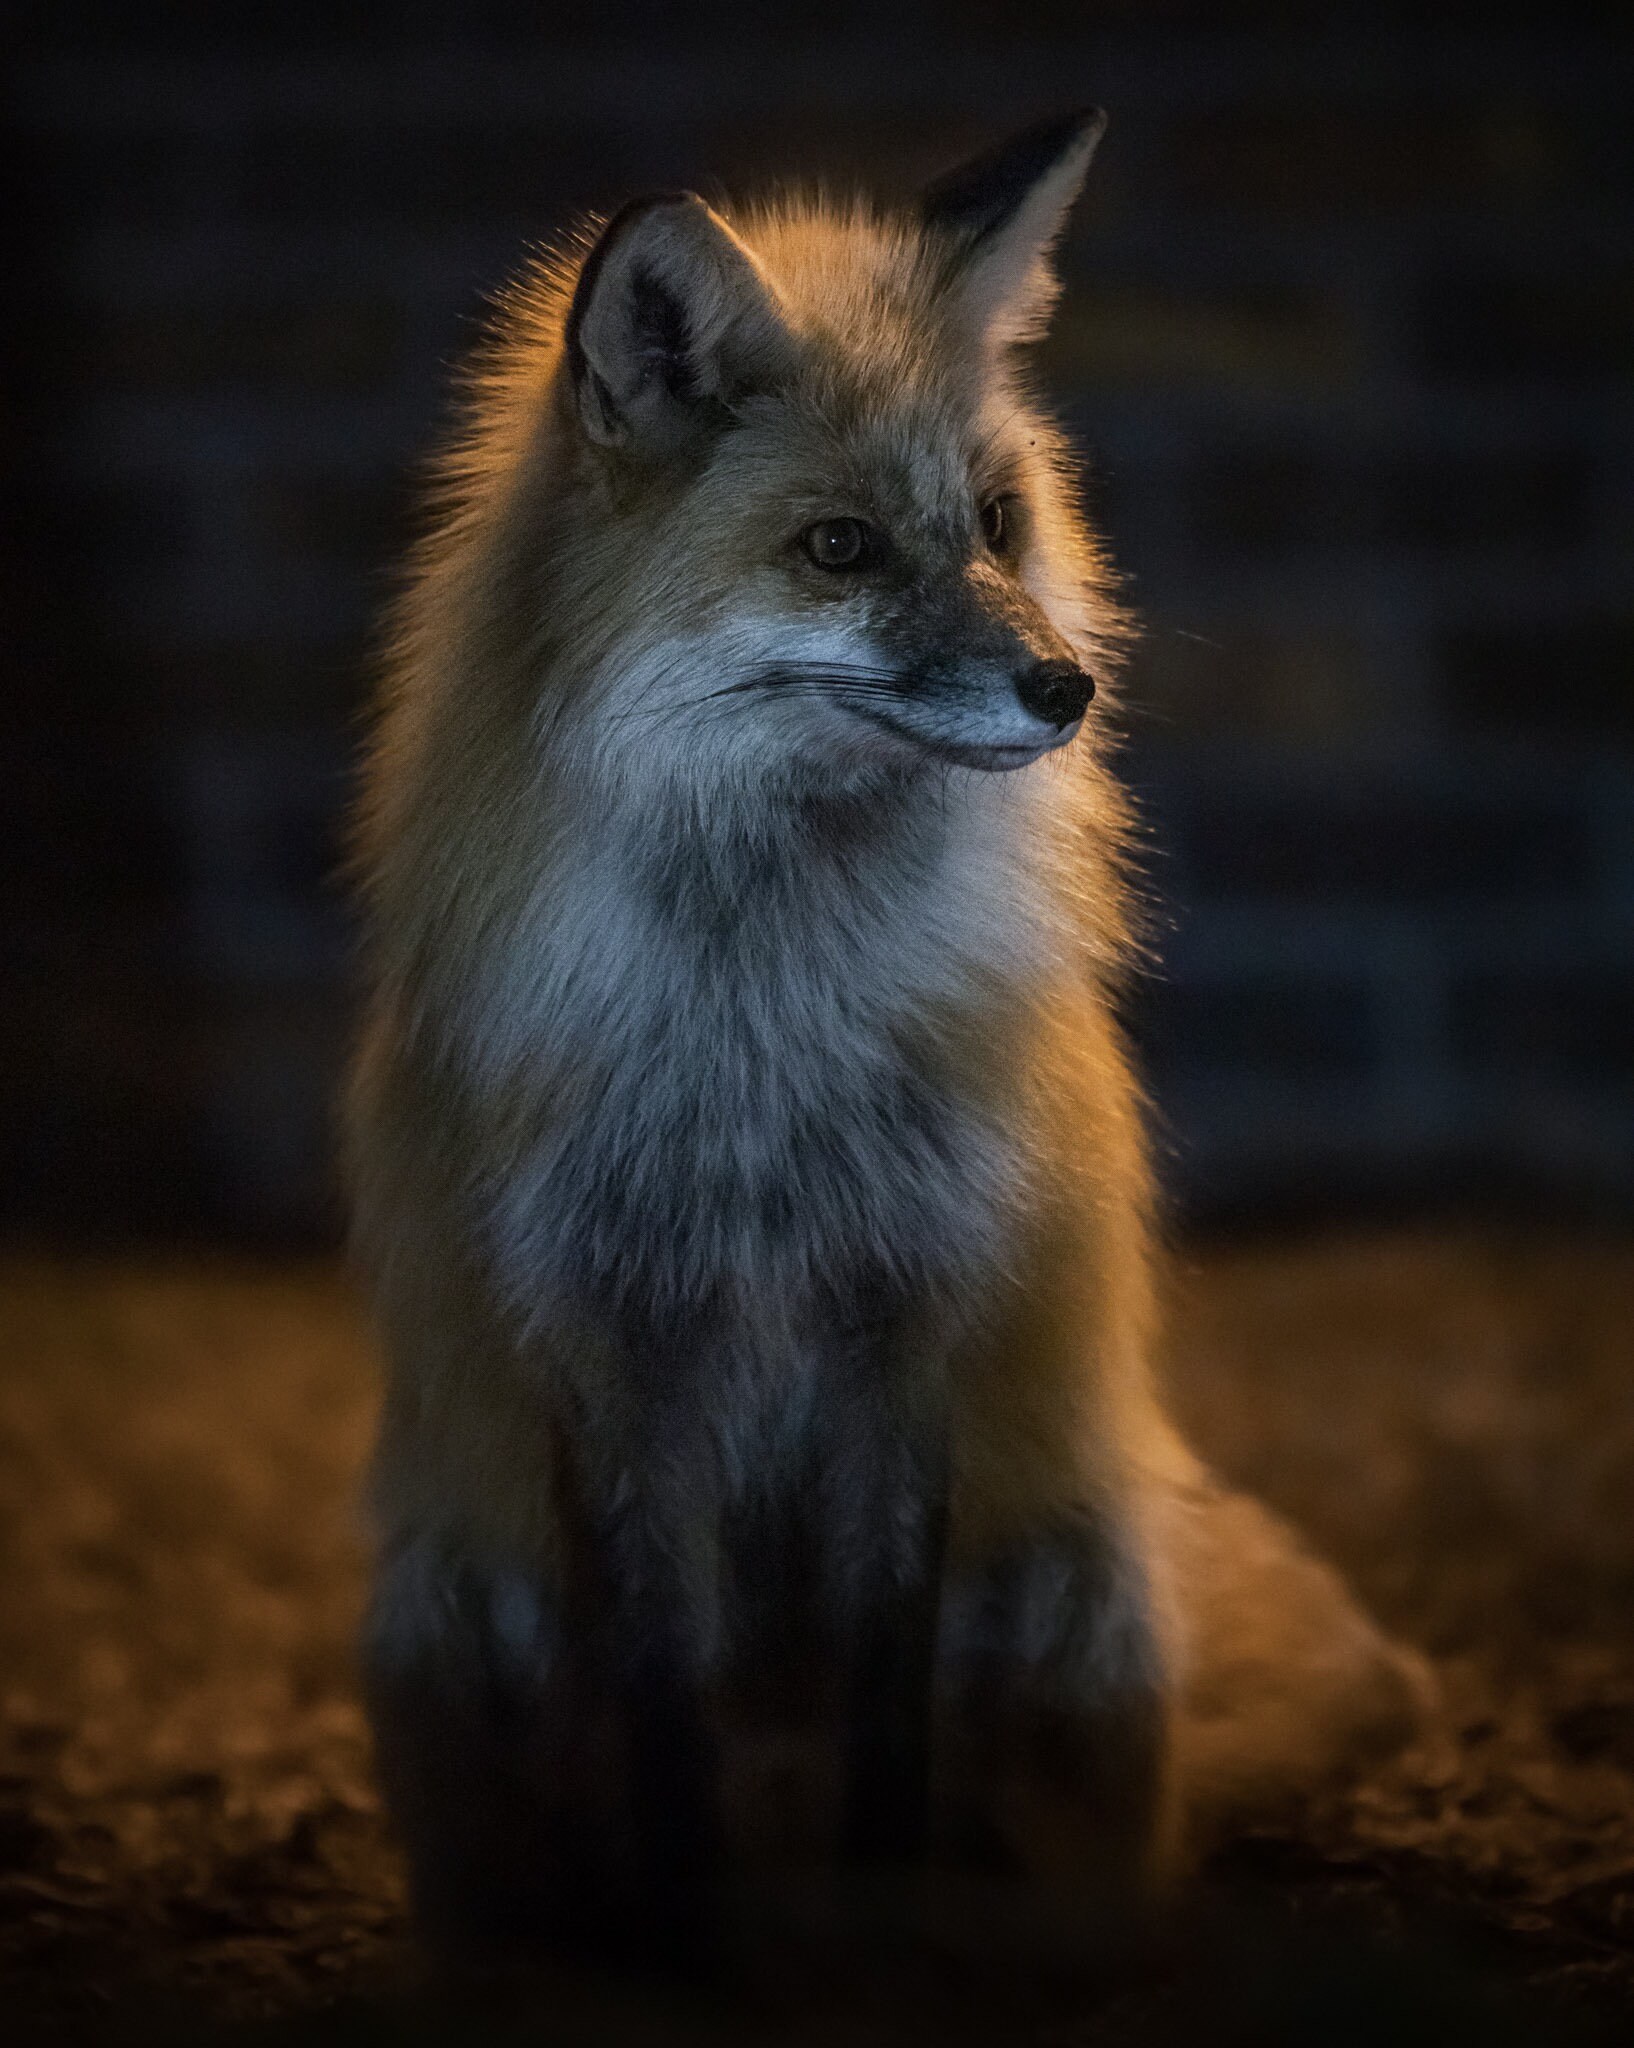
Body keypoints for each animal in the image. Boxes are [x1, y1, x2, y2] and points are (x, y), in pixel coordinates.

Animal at [345, 109, 1428, 1963]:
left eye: (994, 517)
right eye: (837, 548)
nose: (1063, 688)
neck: (763, 1040)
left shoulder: (912, 1314)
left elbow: (884, 1690)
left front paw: (886, 1915)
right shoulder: (616, 1343)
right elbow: (660, 1696)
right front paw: (681, 1937)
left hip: (1073, 1570)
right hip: (460, 1586)